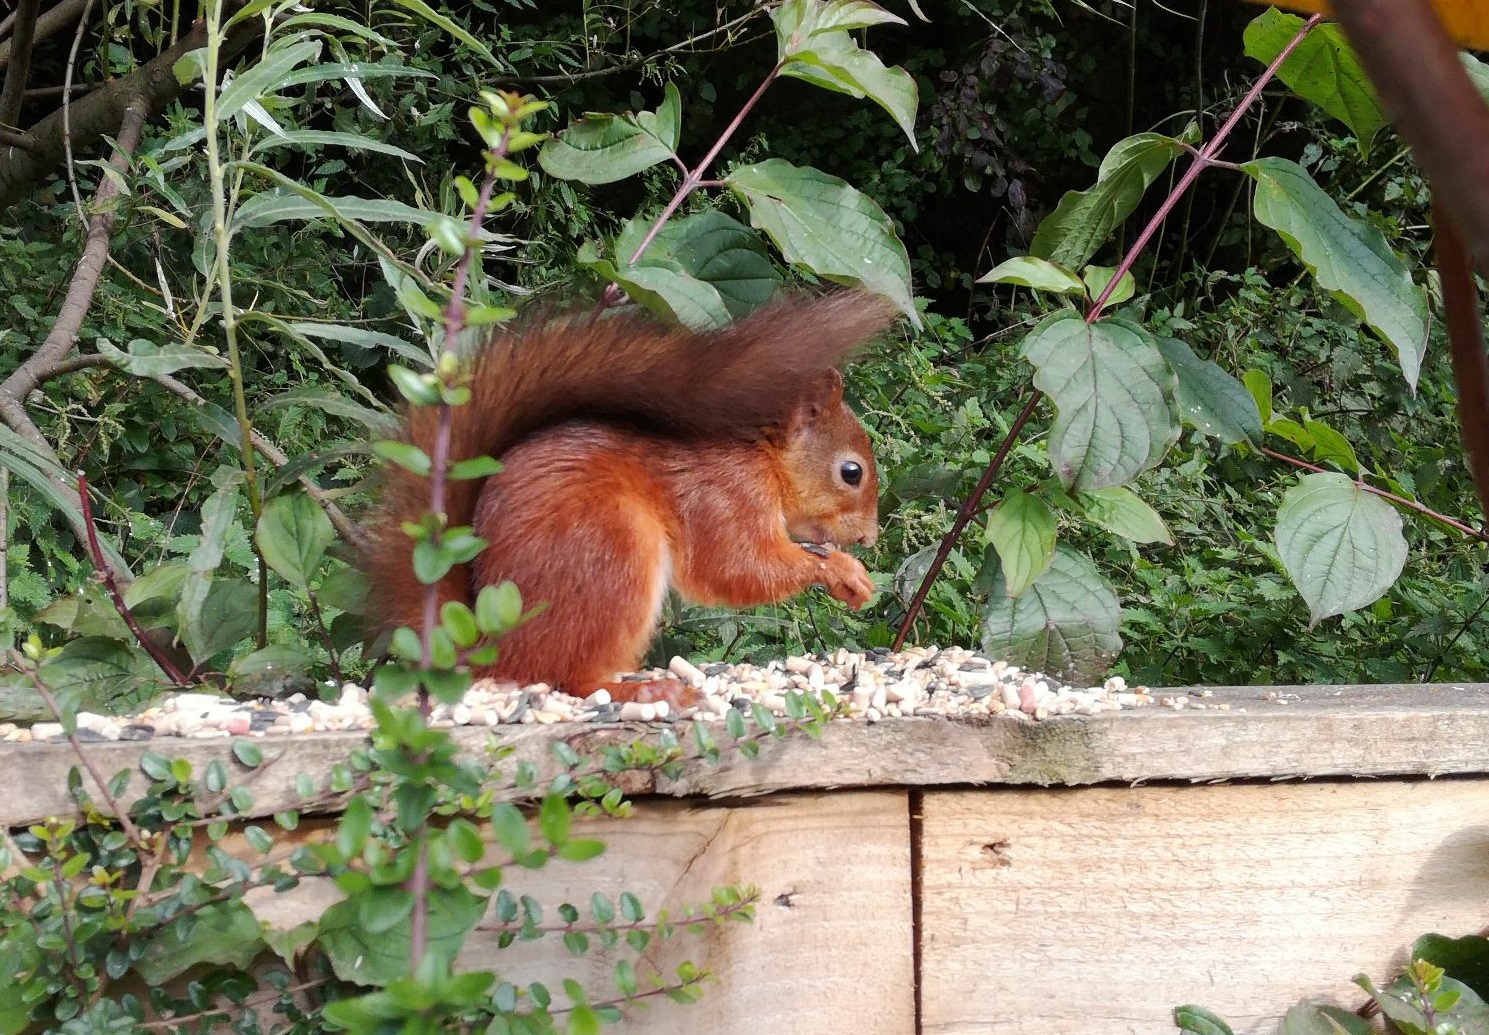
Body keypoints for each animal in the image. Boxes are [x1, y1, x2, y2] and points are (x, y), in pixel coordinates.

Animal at [362, 290, 897, 704]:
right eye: (851, 472)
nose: (870, 539)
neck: (763, 456)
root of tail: (491, 648)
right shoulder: (725, 495)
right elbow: (735, 568)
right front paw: (841, 570)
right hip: (613, 553)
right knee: (569, 677)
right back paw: (642, 690)